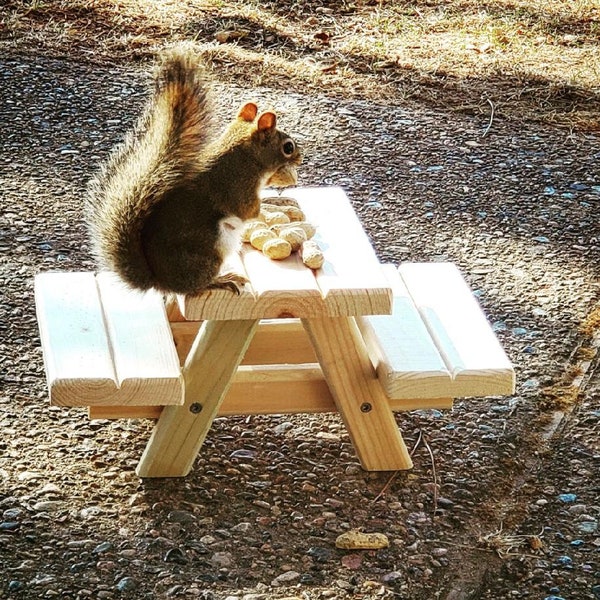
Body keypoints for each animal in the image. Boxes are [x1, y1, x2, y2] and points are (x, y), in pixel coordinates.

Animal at [85, 47, 300, 296]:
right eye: (288, 147)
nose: (301, 157)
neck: (245, 155)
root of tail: (161, 281)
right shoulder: (239, 186)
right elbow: (251, 211)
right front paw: (274, 206)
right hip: (207, 254)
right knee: (195, 287)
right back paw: (221, 280)